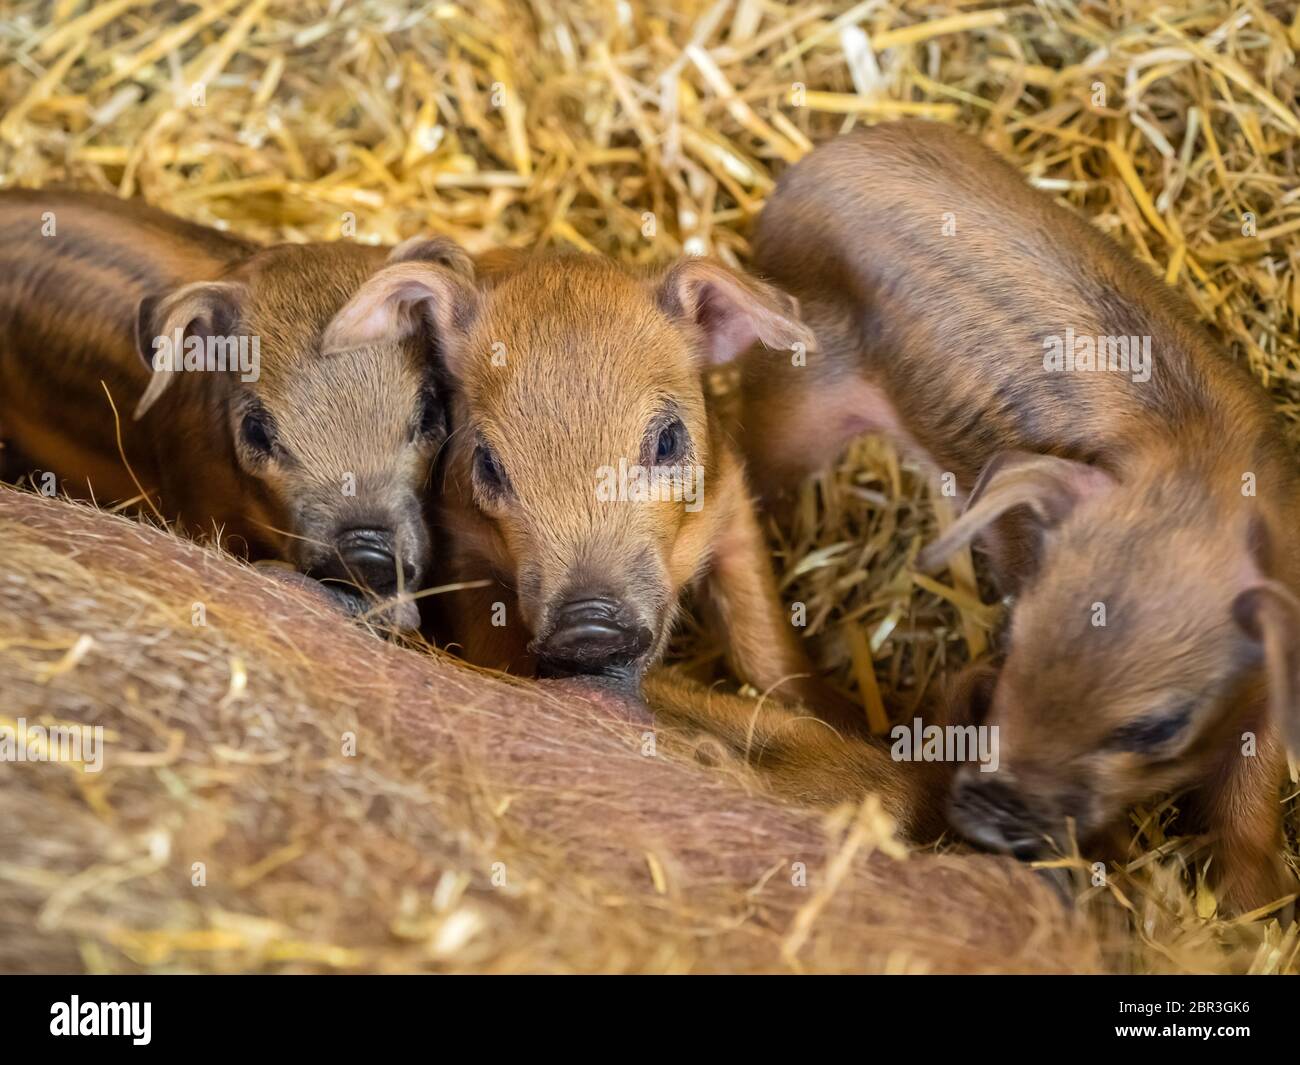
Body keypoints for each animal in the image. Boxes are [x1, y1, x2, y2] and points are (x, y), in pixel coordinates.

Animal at [321, 249, 863, 729]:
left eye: (668, 440)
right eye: (488, 464)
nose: (588, 624)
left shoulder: (730, 504)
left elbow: (761, 639)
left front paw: (838, 714)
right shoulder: (462, 544)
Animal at [737, 120, 1299, 914]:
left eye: (1158, 725)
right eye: (1012, 638)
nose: (986, 812)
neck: (1194, 477)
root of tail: (803, 176)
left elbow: (1255, 786)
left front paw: (1253, 908)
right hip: (798, 388)